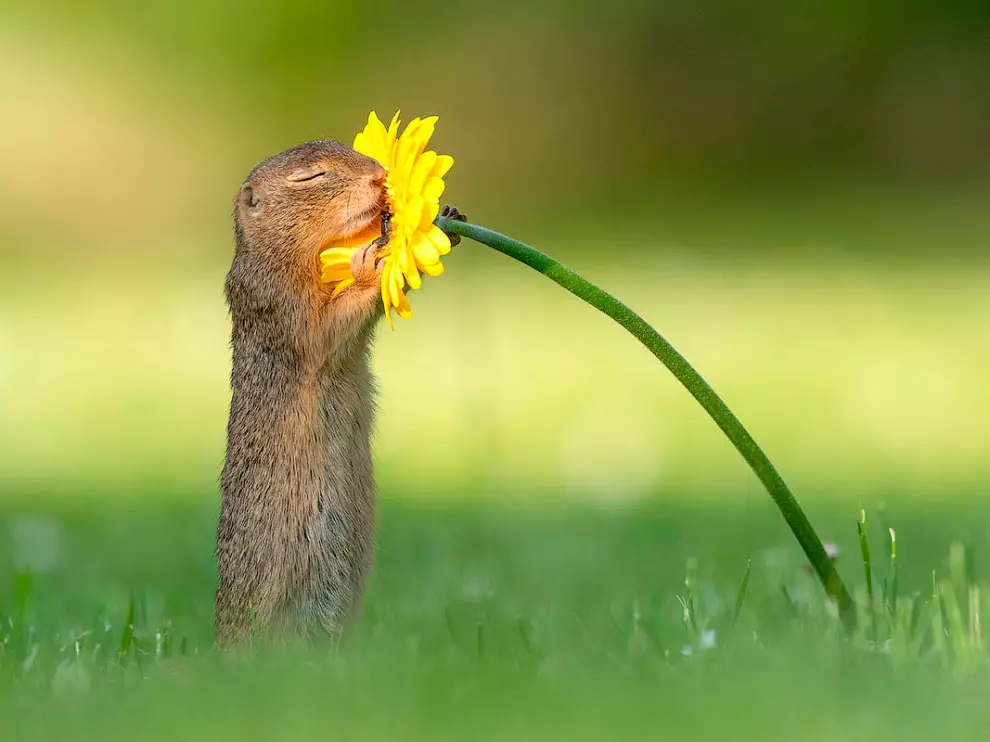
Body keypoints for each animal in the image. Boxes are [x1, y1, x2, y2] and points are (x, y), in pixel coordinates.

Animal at [215, 138, 464, 644]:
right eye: (310, 177)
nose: (379, 176)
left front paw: (442, 218)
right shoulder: (282, 306)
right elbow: (328, 330)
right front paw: (371, 262)